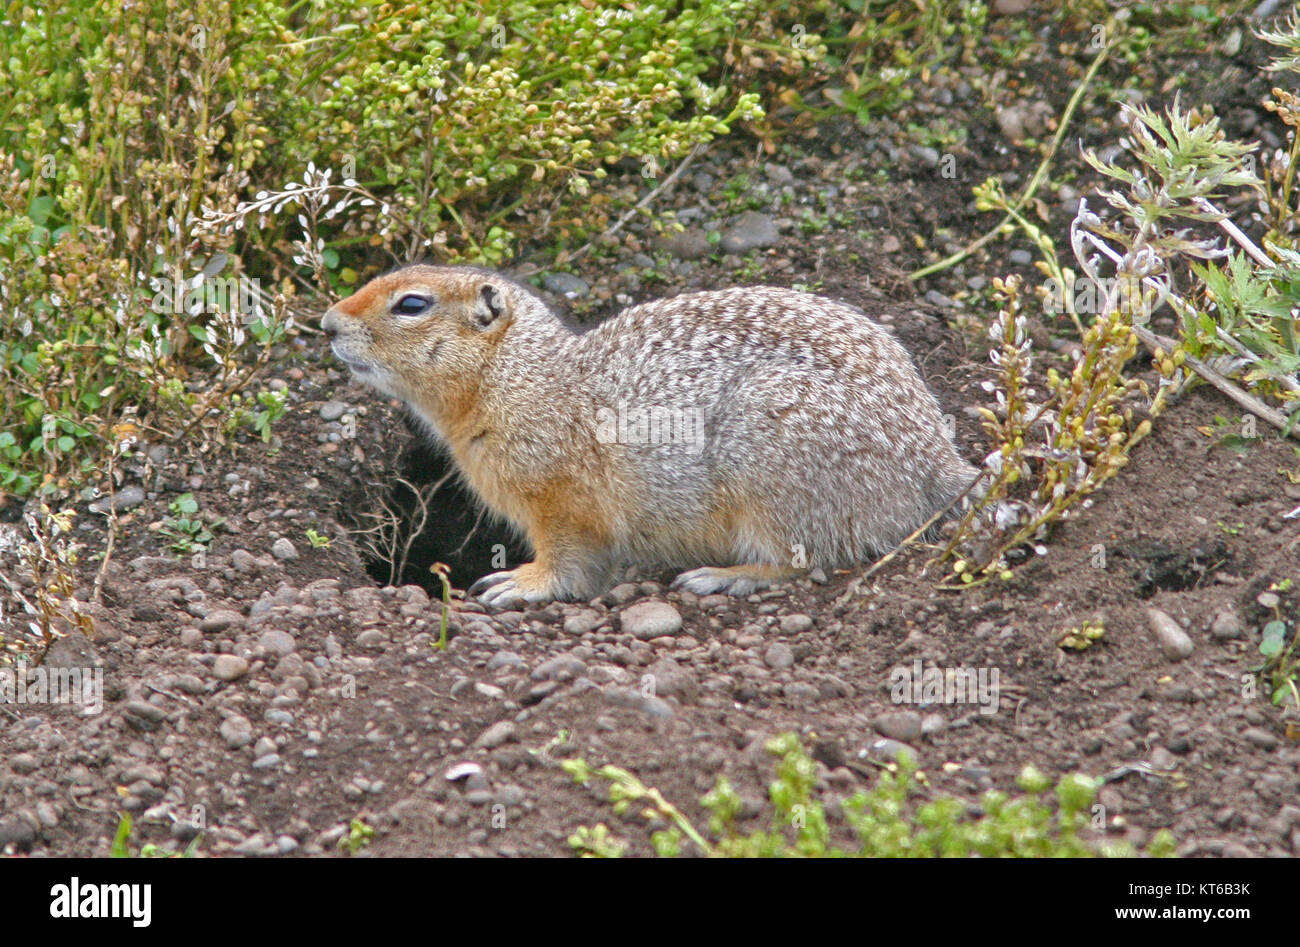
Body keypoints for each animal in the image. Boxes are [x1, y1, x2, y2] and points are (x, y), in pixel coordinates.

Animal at [321, 264, 977, 609]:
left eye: (411, 305)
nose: (326, 322)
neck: (518, 376)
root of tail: (937, 460)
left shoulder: (561, 501)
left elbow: (567, 561)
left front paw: (516, 583)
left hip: (774, 477)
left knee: (807, 561)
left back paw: (721, 575)